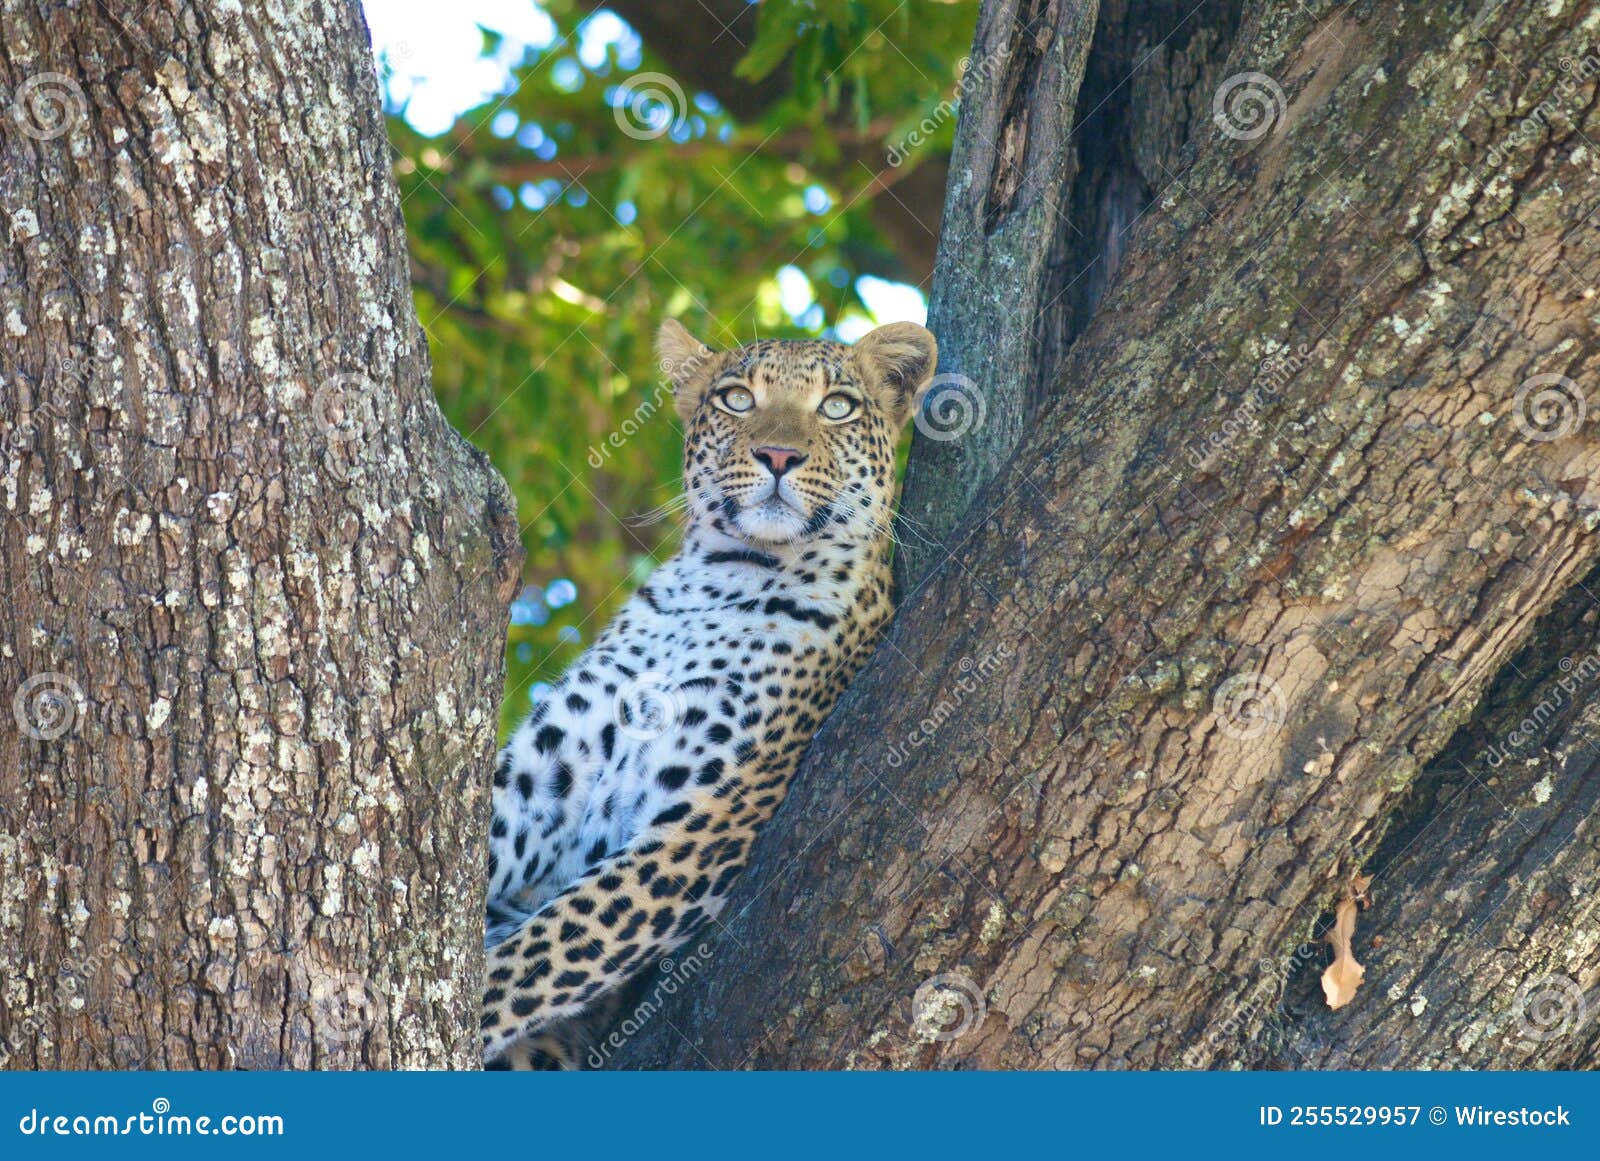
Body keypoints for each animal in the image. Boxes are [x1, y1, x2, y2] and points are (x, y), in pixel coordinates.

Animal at [480, 317, 938, 1068]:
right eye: (736, 399)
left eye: (837, 406)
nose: (778, 455)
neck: (723, 577)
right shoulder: (545, 774)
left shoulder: (699, 825)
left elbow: (543, 953)